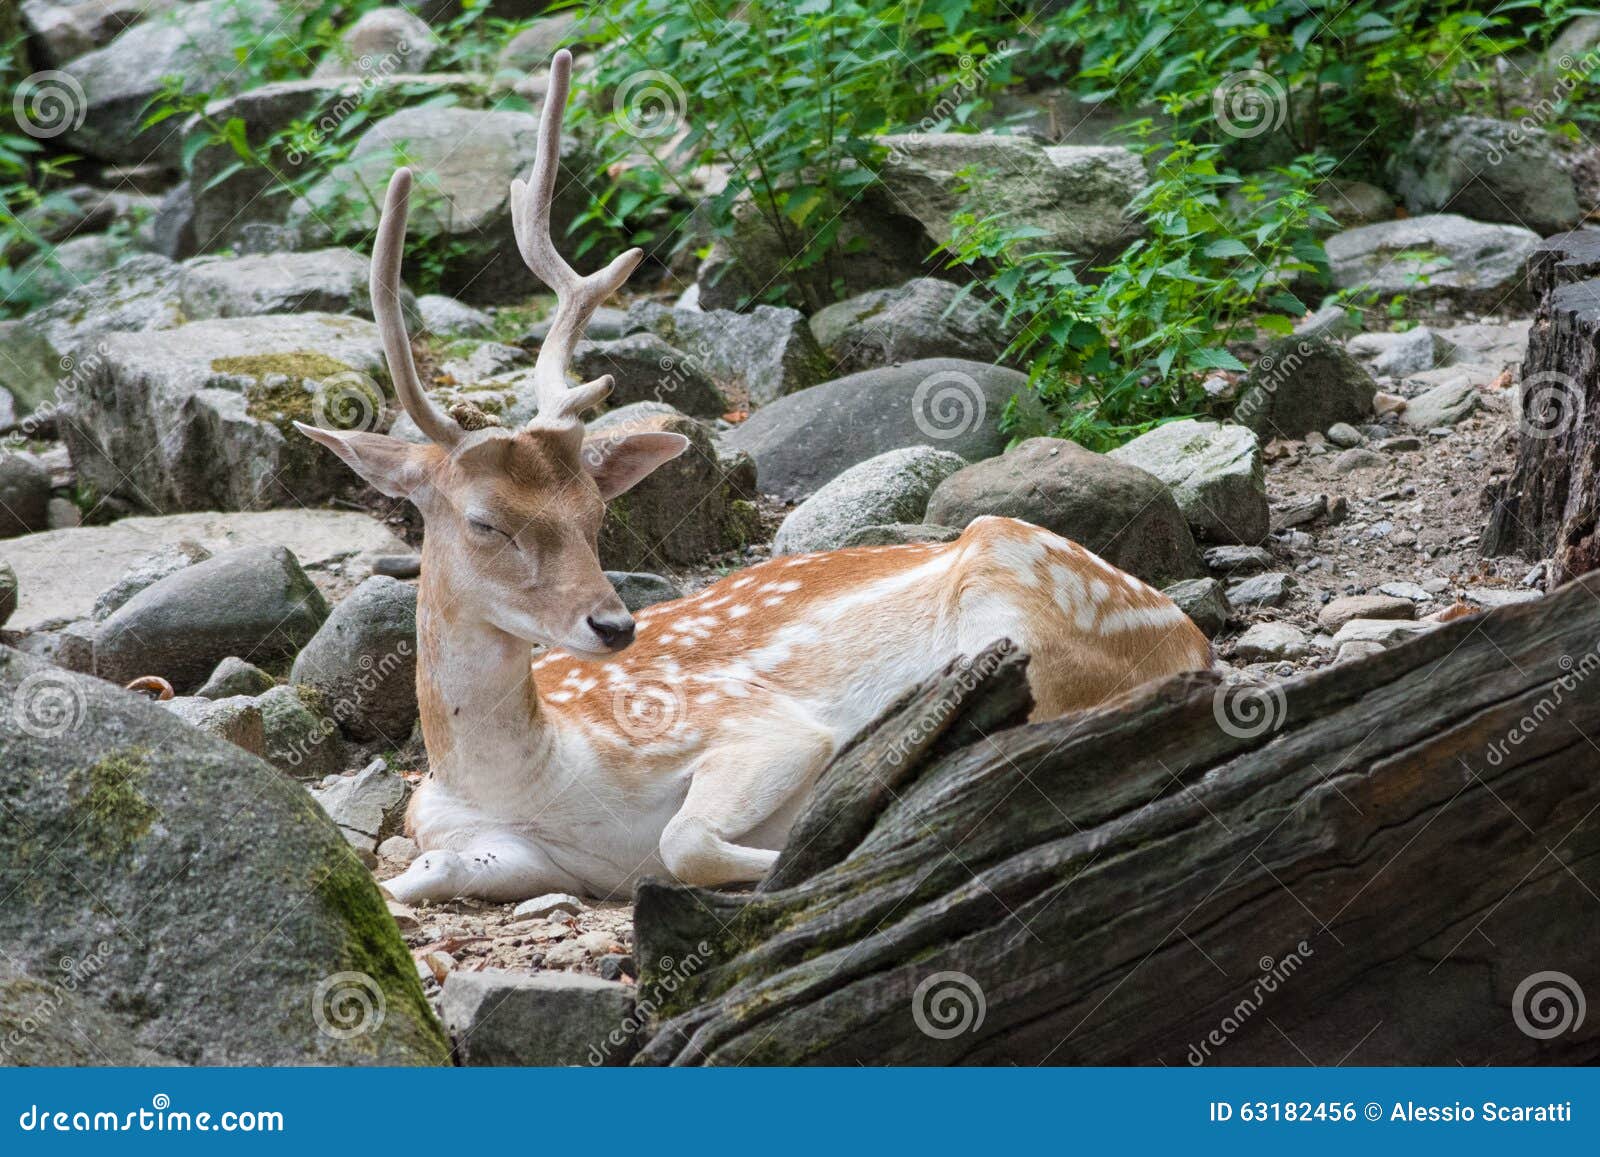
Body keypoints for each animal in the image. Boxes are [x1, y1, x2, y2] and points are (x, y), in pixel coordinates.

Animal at [295, 50, 1213, 905]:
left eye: (596, 514)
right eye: (485, 520)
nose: (614, 626)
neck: (537, 782)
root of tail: (1193, 637)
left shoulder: (750, 723)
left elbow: (682, 840)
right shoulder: (472, 845)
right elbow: (401, 884)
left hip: (1029, 614)